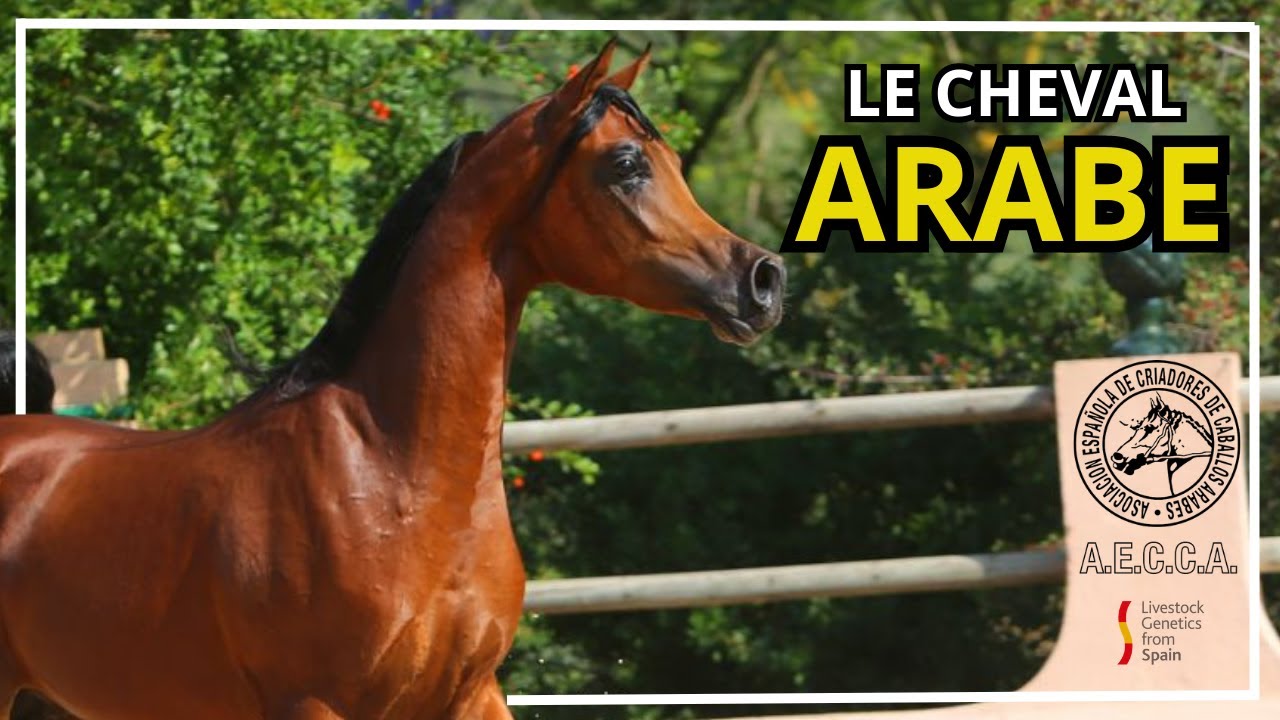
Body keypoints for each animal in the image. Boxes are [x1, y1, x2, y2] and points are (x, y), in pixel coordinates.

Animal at [0, 39, 785, 720]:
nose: (763, 279)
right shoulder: (316, 702)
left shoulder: (471, 695)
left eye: (673, 160)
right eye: (626, 164)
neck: (395, 472)